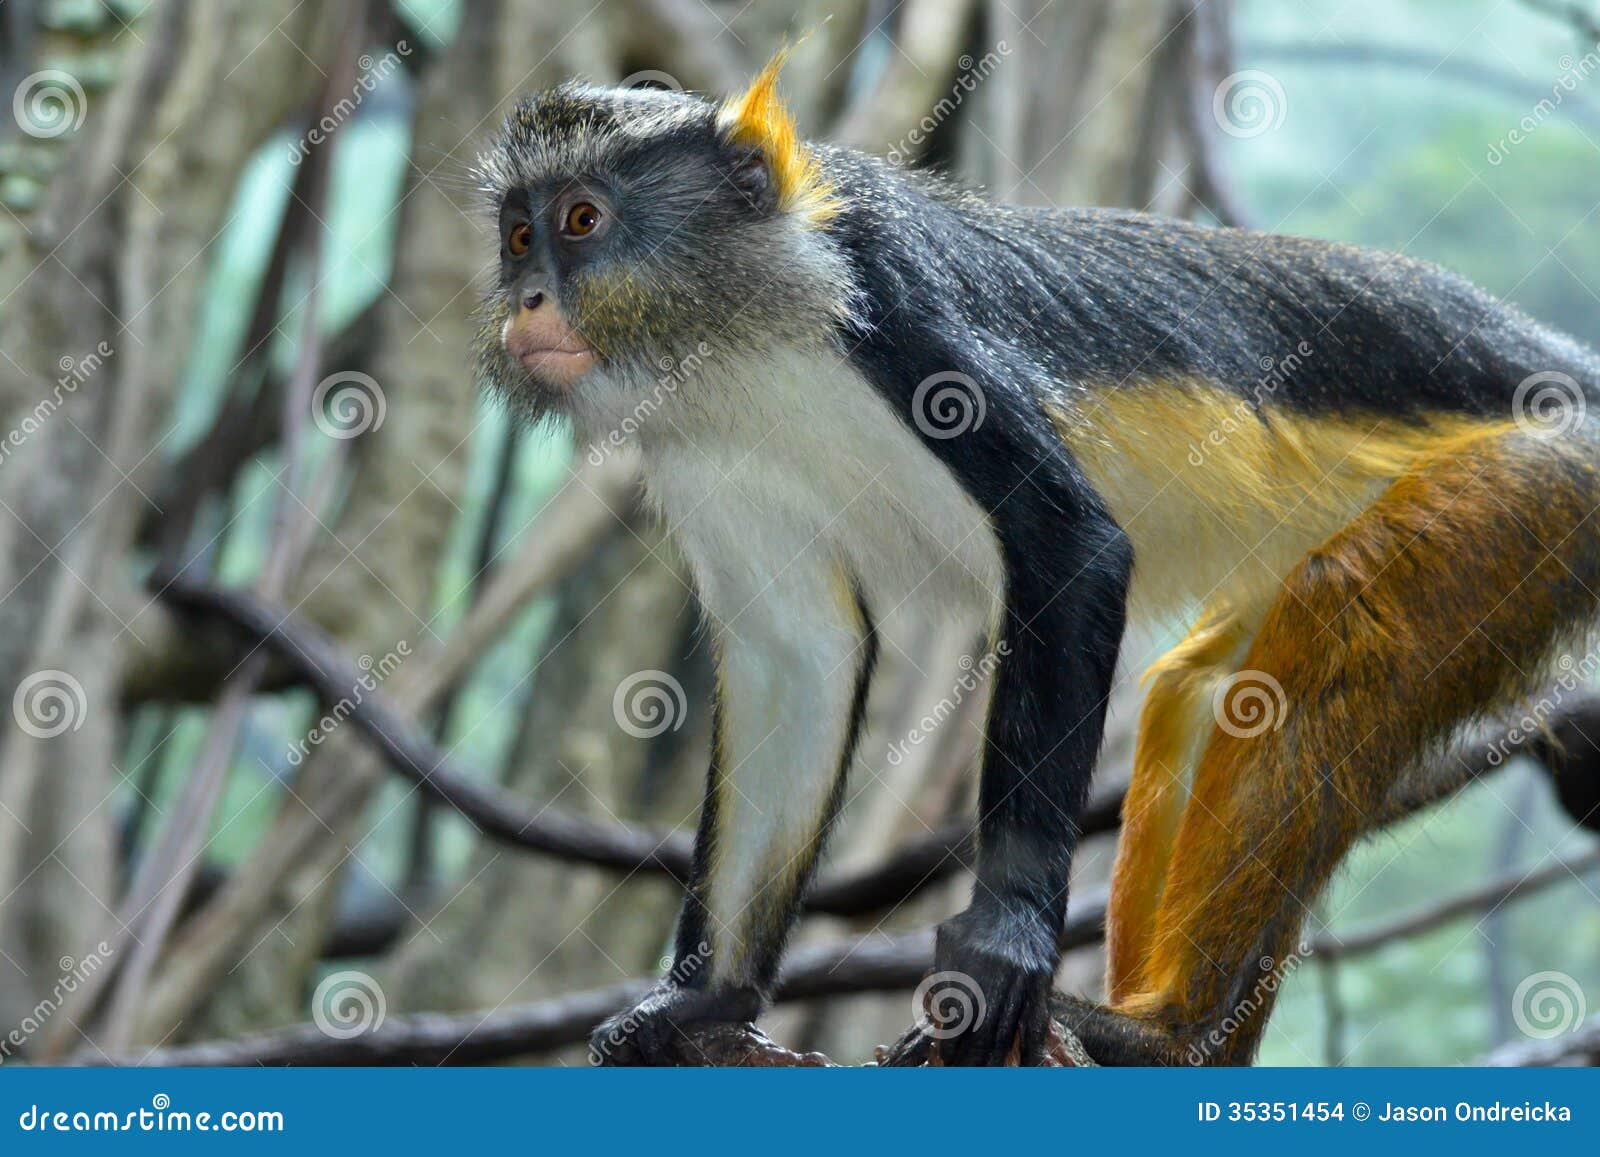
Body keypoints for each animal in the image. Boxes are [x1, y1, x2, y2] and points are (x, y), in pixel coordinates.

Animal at [472, 53, 1600, 1066]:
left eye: (583, 221)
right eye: (519, 236)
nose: (527, 302)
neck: (748, 328)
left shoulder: (902, 322)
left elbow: (1073, 545)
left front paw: (1005, 939)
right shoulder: (697, 448)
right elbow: (800, 651)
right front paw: (704, 997)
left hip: (1544, 486)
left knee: (1336, 608)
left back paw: (1165, 1033)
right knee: (1205, 690)